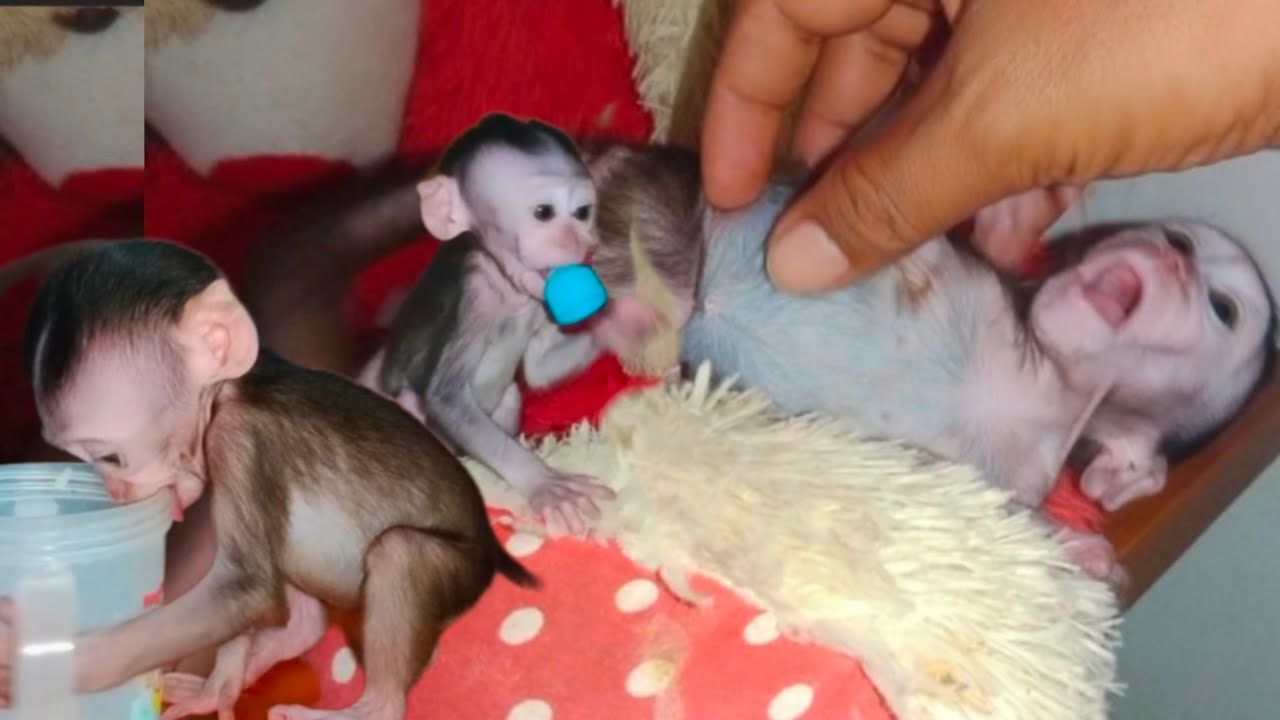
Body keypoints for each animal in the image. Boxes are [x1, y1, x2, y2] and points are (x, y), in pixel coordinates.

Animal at [0, 240, 538, 720]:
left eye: (110, 458)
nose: (115, 493)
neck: (229, 391)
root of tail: (489, 542)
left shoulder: (240, 440)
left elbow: (245, 588)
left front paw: (50, 665)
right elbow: (240, 588)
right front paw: (221, 683)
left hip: (460, 569)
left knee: (400, 552)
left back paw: (361, 709)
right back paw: (270, 651)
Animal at [352, 114, 661, 537]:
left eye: (583, 212)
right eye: (544, 212)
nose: (578, 242)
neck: (509, 287)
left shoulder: (541, 303)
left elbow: (538, 370)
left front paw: (622, 321)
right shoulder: (474, 296)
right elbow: (445, 398)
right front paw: (545, 482)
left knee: (512, 393)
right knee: (415, 403)